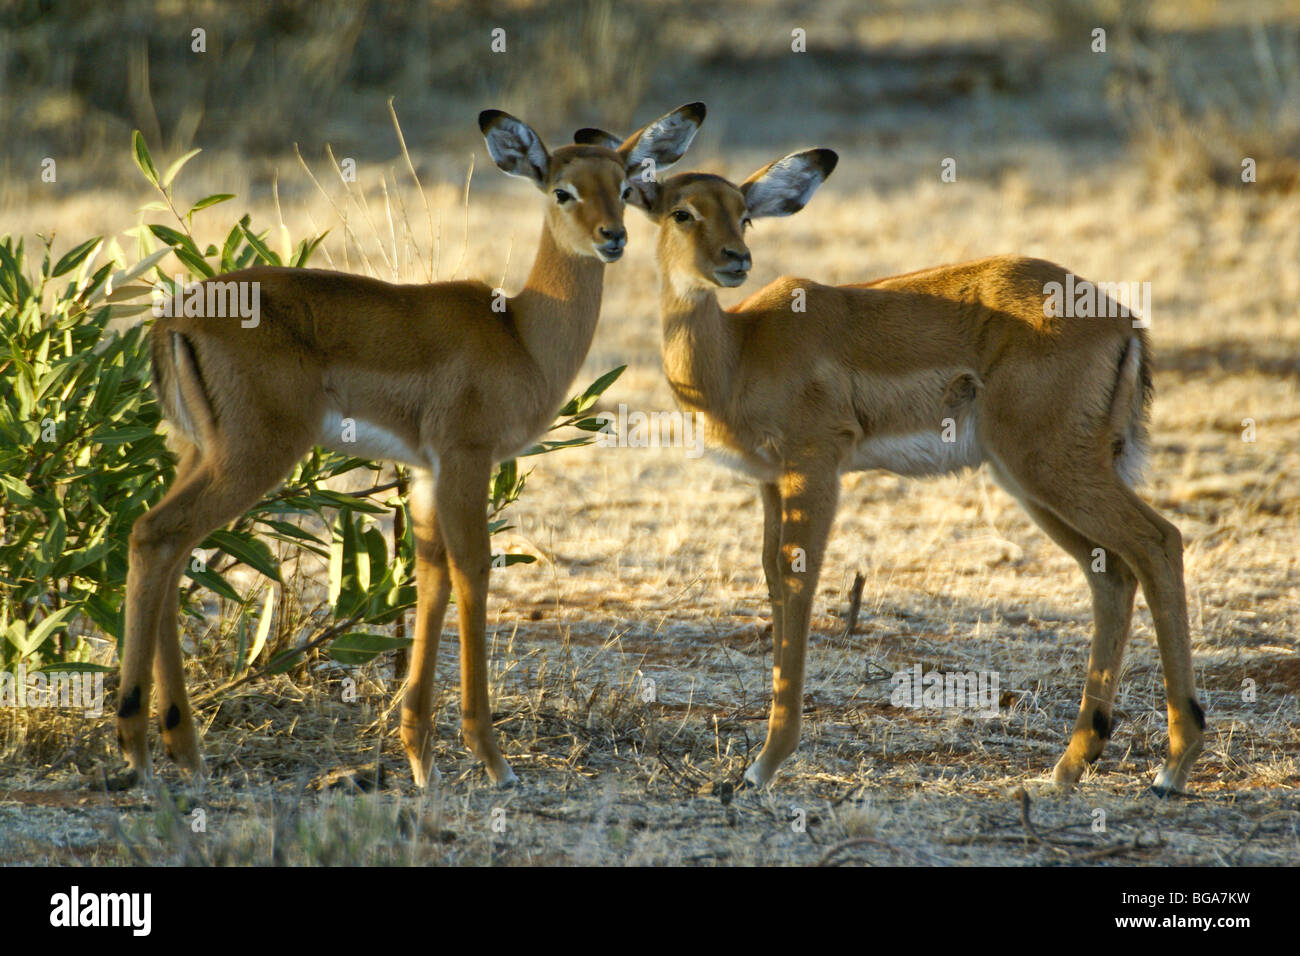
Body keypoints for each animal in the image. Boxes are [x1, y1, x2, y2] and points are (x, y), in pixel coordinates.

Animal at [116, 103, 706, 788]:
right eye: (563, 189)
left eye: (623, 183)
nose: (613, 237)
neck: (522, 335)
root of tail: (172, 319)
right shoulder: (466, 459)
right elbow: (474, 570)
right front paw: (492, 759)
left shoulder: (425, 474)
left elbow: (430, 578)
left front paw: (420, 755)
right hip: (253, 455)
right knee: (156, 536)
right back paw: (140, 747)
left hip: (200, 453)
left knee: (169, 550)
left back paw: (181, 748)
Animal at [575, 128, 1204, 795]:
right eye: (682, 211)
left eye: (743, 214)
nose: (735, 261)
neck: (739, 350)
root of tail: (1124, 322)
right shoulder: (771, 482)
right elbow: (771, 578)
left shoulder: (815, 466)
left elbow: (798, 581)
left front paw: (765, 764)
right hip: (1031, 482)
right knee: (1111, 573)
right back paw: (1070, 765)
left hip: (1053, 468)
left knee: (1159, 541)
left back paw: (1172, 766)